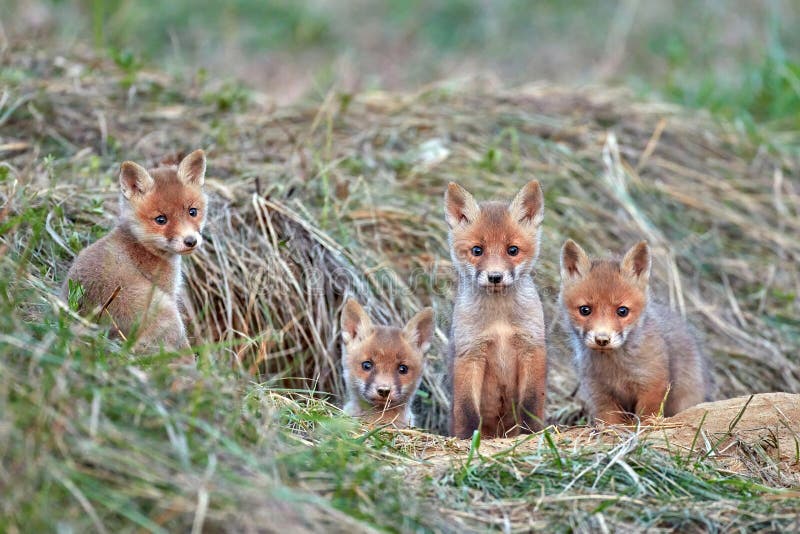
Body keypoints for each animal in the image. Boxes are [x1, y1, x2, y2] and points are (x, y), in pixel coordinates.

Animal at [62, 149, 208, 353]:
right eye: (161, 219)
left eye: (193, 211)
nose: (191, 241)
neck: (142, 246)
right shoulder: (168, 292)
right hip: (166, 312)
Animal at [445, 181, 548, 439]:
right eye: (477, 250)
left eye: (512, 250)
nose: (495, 277)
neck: (500, 320)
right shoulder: (470, 353)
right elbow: (467, 411)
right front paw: (468, 440)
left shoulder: (531, 347)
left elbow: (531, 403)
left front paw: (531, 434)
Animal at [559, 239, 713, 424]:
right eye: (585, 310)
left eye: (622, 311)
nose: (602, 339)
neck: (615, 370)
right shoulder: (599, 394)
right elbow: (611, 424)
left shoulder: (652, 385)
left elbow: (646, 418)